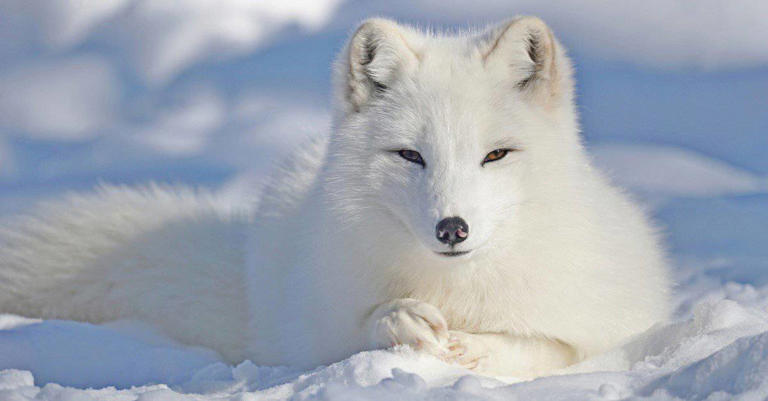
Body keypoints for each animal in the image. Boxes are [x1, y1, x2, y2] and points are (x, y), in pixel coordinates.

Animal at [0, 17, 670, 378]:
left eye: (496, 155)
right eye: (411, 155)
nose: (452, 229)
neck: (455, 289)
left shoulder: (609, 329)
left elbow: (544, 347)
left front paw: (474, 347)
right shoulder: (321, 332)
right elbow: (362, 325)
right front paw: (402, 321)